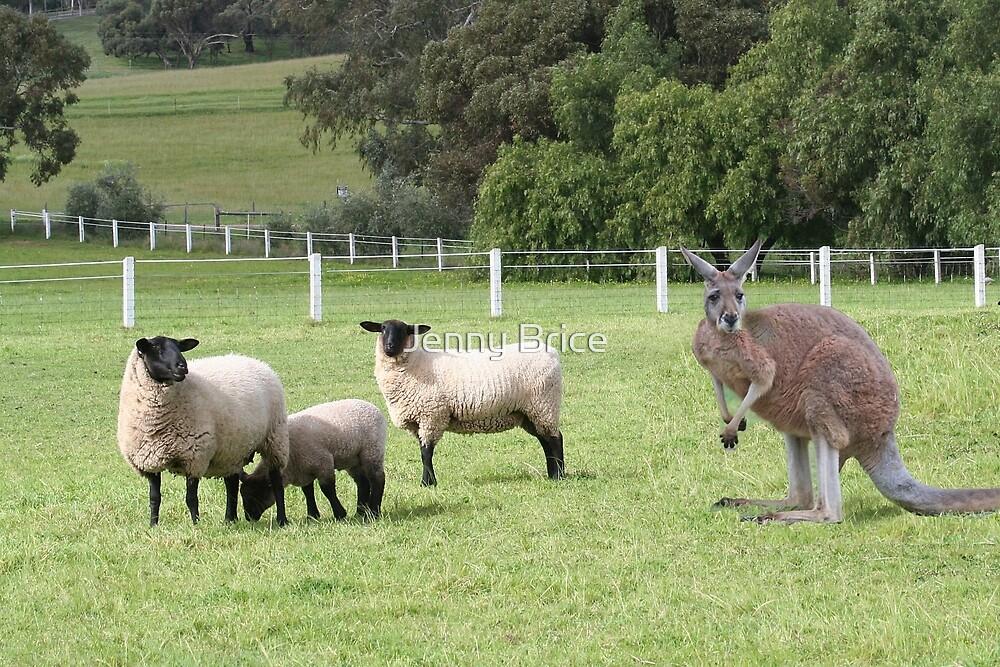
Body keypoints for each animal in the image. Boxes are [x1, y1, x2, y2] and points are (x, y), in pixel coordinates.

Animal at [117, 336, 289, 527]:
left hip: (275, 438)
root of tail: (254, 360)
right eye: (158, 350)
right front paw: (153, 525)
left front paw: (195, 525)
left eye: (179, 348)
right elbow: (155, 498)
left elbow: (191, 499)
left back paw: (282, 520)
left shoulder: (194, 456)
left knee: (276, 482)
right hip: (232, 449)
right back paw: (230, 519)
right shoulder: (150, 460)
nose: (183, 366)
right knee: (231, 483)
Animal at [240, 399, 387, 521]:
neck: (290, 461)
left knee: (377, 479)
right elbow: (308, 492)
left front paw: (340, 514)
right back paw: (360, 512)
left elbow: (327, 489)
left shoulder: (323, 463)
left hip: (372, 450)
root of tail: (373, 407)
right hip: (354, 460)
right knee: (363, 483)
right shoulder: (304, 469)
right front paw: (312, 516)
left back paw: (373, 512)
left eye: (255, 495)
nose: (249, 518)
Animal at [359, 319, 564, 486]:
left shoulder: (431, 415)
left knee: (555, 439)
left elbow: (426, 452)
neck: (415, 364)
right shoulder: (418, 422)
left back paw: (559, 475)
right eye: (382, 329)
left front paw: (427, 483)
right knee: (545, 440)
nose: (390, 346)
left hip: (544, 404)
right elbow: (422, 451)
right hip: (528, 412)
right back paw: (551, 473)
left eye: (405, 330)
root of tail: (551, 352)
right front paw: (429, 481)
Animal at [679, 240, 1000, 524]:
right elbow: (719, 388)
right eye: (714, 296)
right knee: (802, 495)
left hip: (826, 387)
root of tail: (882, 436)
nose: (731, 318)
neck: (722, 338)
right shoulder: (710, 365)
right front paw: (730, 419)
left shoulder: (762, 363)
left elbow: (762, 382)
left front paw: (731, 429)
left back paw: (774, 516)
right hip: (793, 421)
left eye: (740, 294)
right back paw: (740, 503)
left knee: (830, 510)